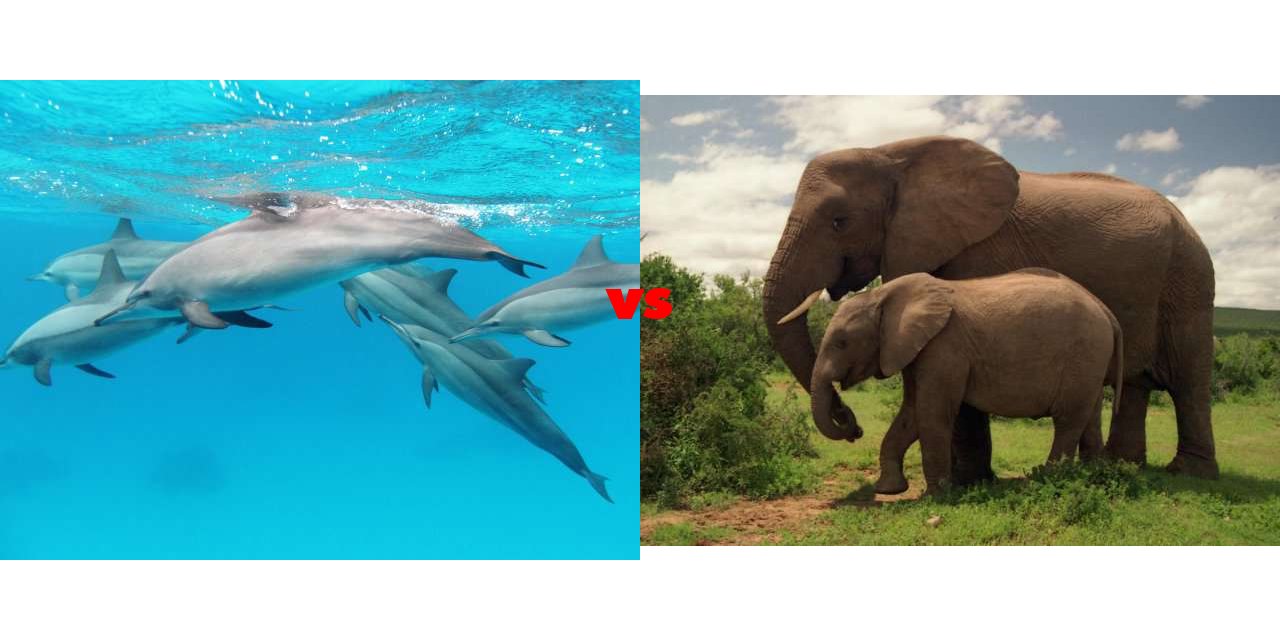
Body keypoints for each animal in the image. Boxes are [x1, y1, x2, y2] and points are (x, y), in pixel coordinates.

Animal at [810, 269, 1124, 493]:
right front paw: (889, 490)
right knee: (1090, 417)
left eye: (841, 343)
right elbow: (911, 413)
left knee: (1068, 419)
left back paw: (1048, 478)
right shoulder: (916, 350)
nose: (855, 429)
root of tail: (1106, 311)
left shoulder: (944, 348)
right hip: (1091, 361)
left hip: (1084, 353)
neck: (882, 295)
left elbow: (931, 413)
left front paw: (937, 496)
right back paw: (1091, 475)